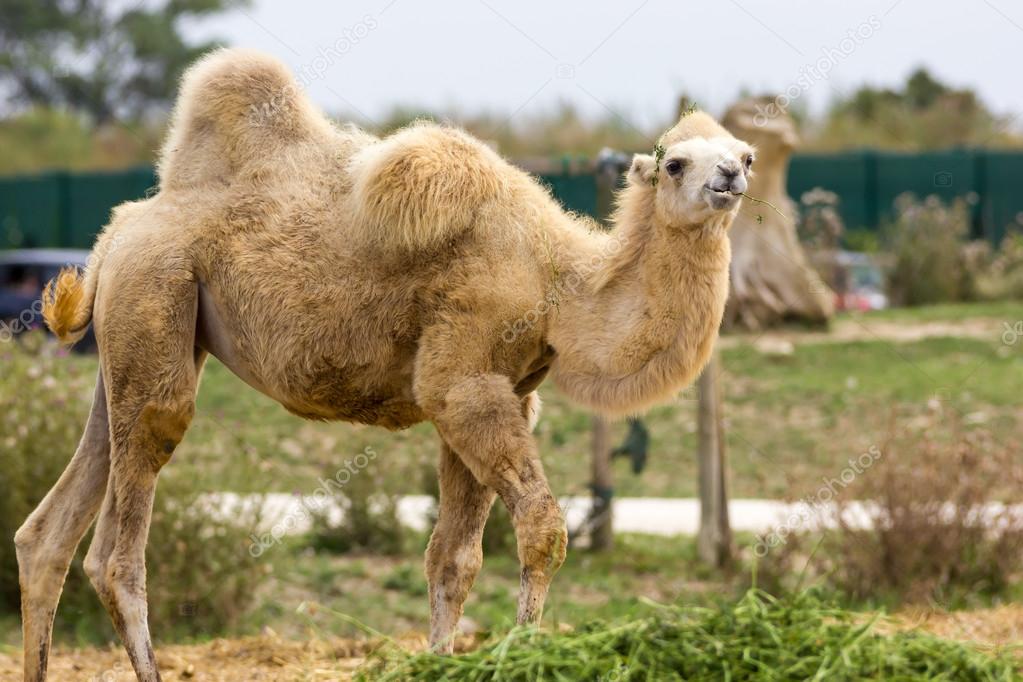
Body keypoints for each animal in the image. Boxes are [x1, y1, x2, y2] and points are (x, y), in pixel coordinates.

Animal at [14, 48, 754, 681]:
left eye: (745, 151)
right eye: (675, 163)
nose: (732, 177)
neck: (556, 283)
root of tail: (116, 233)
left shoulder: (505, 394)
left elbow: (452, 559)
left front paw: (443, 658)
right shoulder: (462, 381)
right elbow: (542, 529)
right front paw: (526, 653)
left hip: (135, 341)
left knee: (48, 532)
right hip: (158, 299)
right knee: (117, 552)